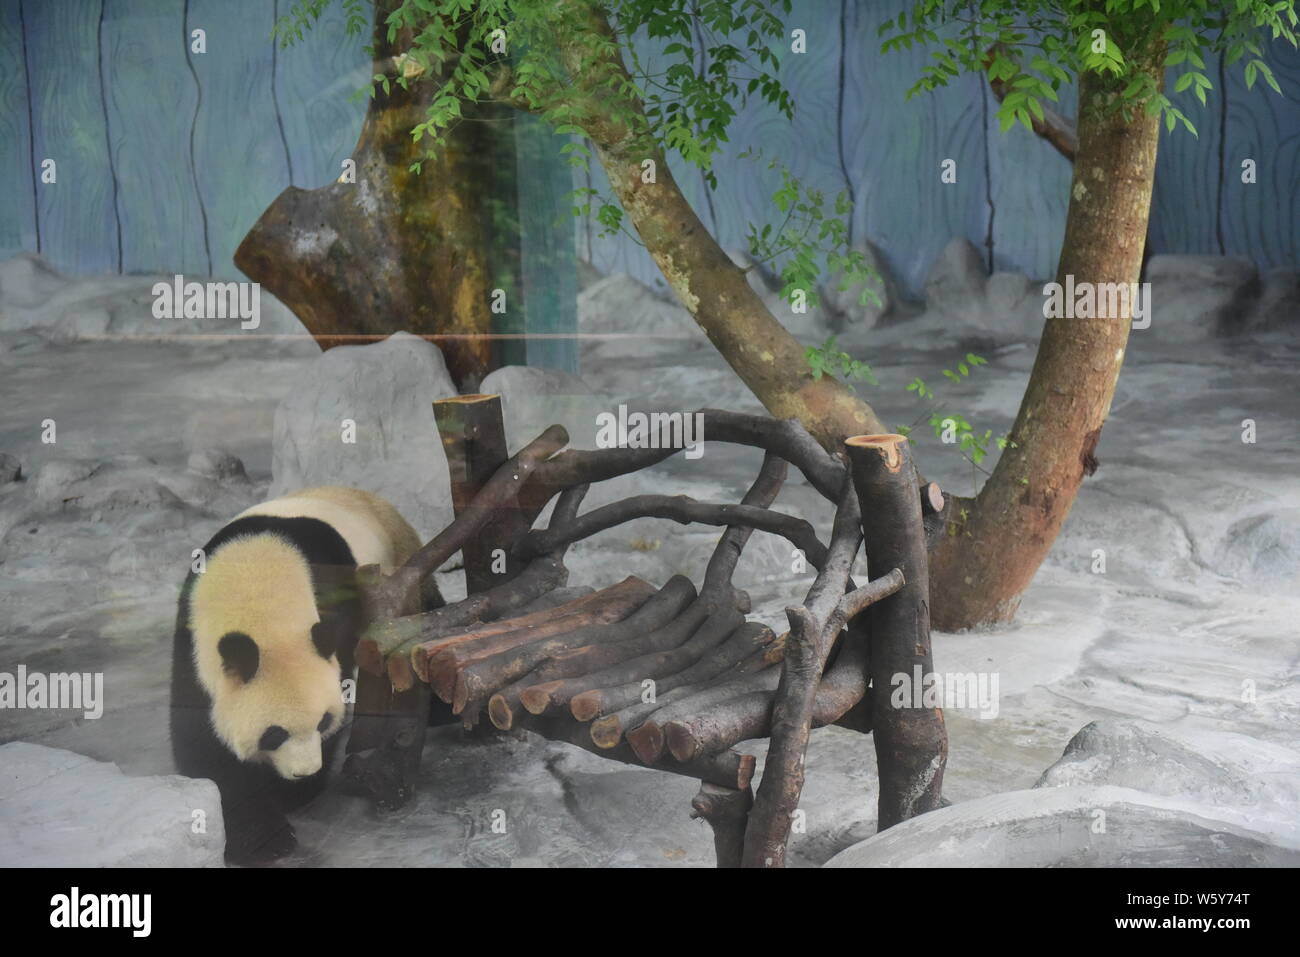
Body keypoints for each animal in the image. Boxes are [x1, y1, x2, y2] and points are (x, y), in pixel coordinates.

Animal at [170, 486, 426, 864]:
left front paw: (292, 795)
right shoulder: (193, 646)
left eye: (322, 722)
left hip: (400, 557)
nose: (304, 771)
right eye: (274, 734)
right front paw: (263, 839)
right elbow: (205, 745)